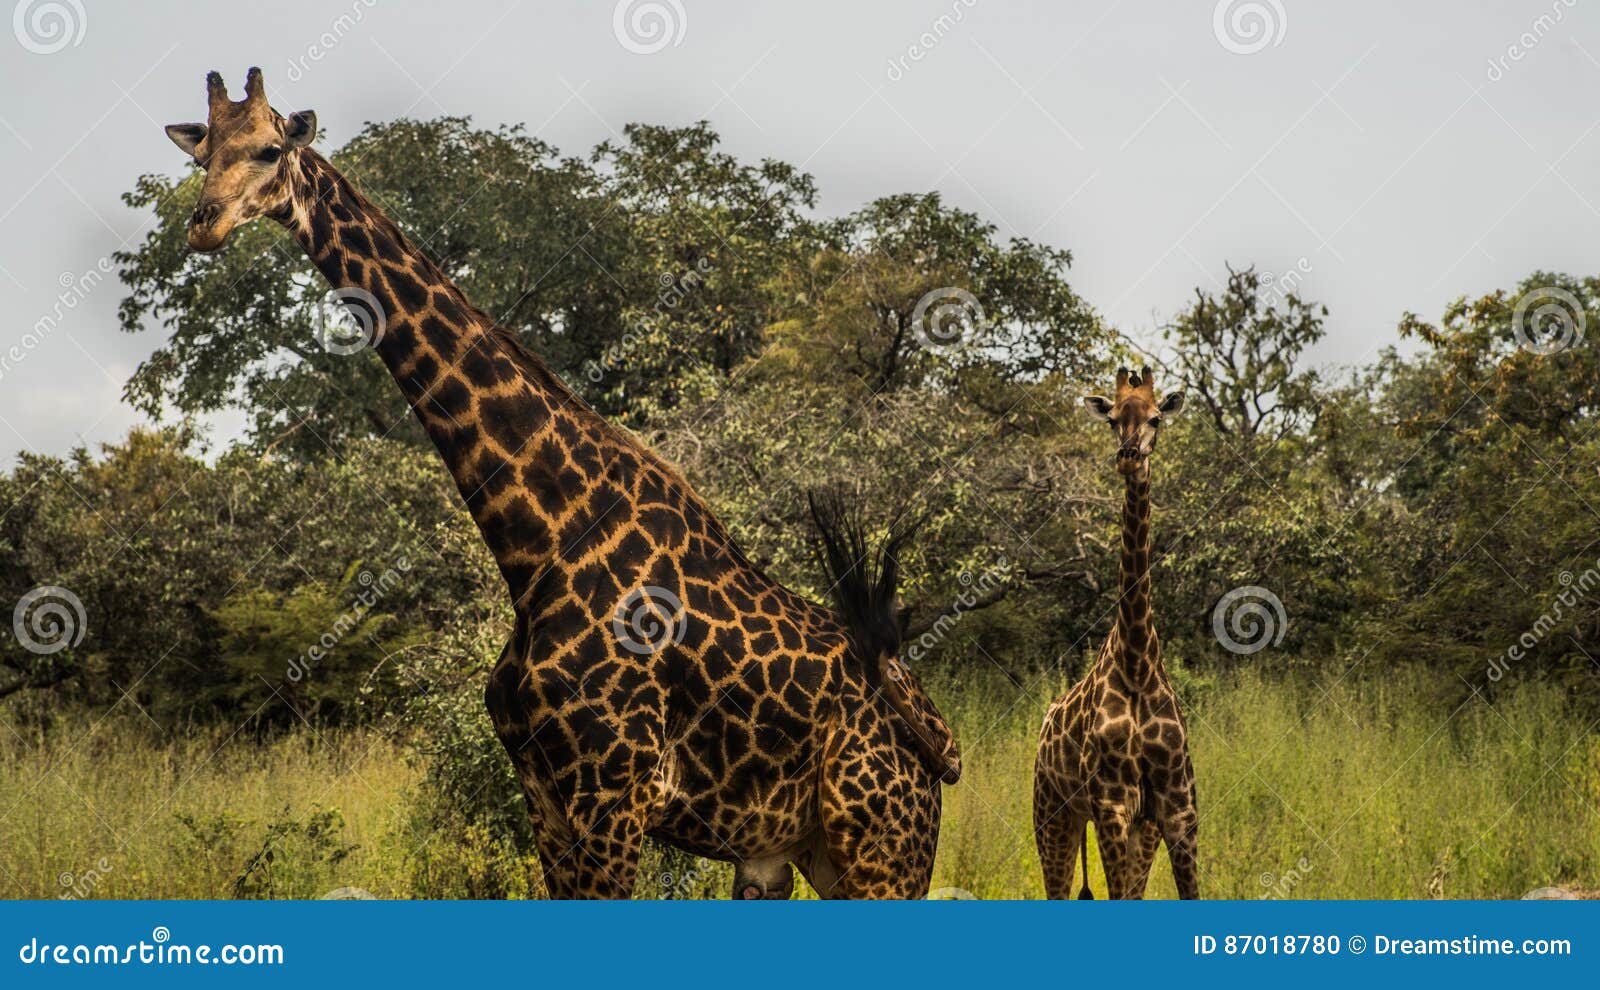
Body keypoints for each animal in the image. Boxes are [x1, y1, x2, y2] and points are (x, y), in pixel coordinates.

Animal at [164, 68, 960, 899]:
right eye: (203, 155)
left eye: (269, 148)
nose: (204, 225)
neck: (538, 541)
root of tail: (940, 750)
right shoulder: (545, 793)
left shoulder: (614, 794)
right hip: (787, 854)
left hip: (884, 849)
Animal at [1032, 367, 1199, 900]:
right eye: (1111, 420)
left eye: (1155, 419)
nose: (1129, 456)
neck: (1138, 662)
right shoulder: (1112, 803)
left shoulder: (1177, 808)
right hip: (1053, 814)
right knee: (1058, 889)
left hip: (1134, 827)